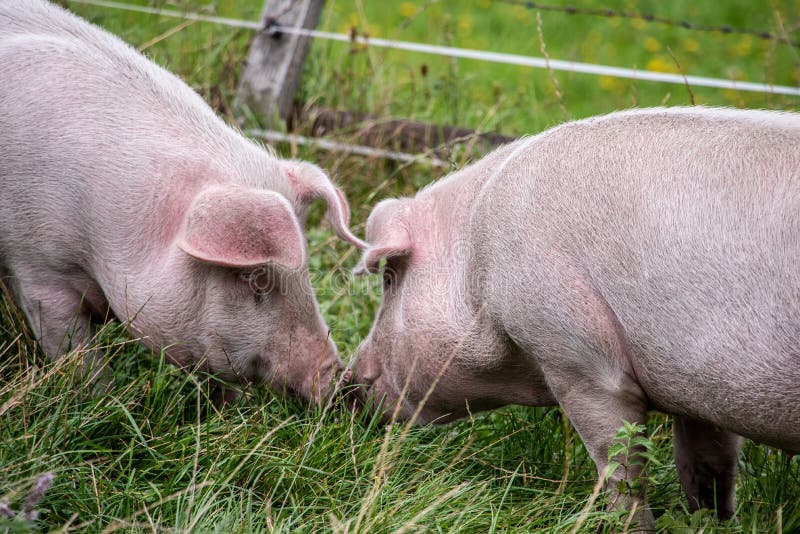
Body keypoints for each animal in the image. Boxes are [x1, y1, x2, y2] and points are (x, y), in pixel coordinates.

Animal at [0, 0, 365, 403]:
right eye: (254, 282)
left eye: (306, 275)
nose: (339, 379)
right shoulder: (38, 266)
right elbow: (76, 353)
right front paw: (102, 398)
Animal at [353, 106, 800, 527]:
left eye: (389, 279)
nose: (350, 382)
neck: (477, 262)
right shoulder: (698, 391)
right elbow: (707, 465)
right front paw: (712, 521)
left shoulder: (576, 359)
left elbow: (619, 466)